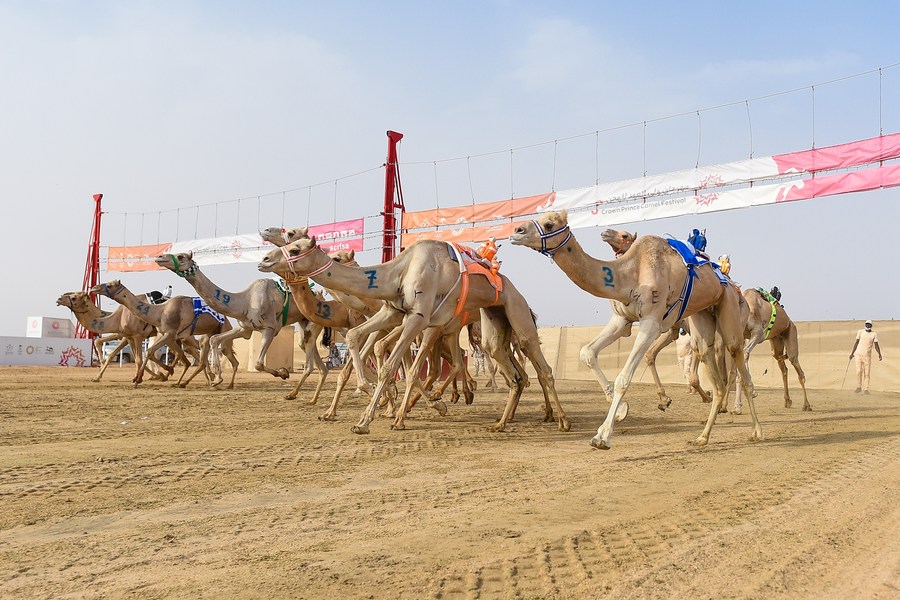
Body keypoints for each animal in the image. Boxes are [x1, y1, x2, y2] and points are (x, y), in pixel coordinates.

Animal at [90, 280, 239, 388]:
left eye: (110, 285)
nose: (94, 288)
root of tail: (225, 317)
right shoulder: (132, 335)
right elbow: (137, 354)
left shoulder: (158, 334)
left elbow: (146, 353)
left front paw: (139, 378)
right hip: (201, 334)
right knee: (198, 353)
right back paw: (200, 380)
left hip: (215, 331)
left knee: (215, 351)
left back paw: (214, 379)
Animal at [153, 252, 328, 398]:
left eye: (181, 256)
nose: (160, 257)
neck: (246, 301)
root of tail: (321, 297)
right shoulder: (245, 328)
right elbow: (215, 339)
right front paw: (217, 379)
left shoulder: (270, 328)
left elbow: (258, 364)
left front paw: (283, 373)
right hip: (303, 321)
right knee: (307, 348)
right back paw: (301, 394)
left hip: (313, 321)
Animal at [257, 236, 570, 435]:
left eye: (295, 248)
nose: (264, 259)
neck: (398, 272)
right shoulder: (393, 312)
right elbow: (359, 337)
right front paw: (374, 400)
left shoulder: (418, 318)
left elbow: (391, 367)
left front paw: (367, 420)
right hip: (493, 320)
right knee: (513, 373)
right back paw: (500, 423)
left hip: (515, 311)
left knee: (540, 366)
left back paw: (561, 420)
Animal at [510, 210, 761, 449]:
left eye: (549, 224)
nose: (516, 231)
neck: (630, 273)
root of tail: (729, 282)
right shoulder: (621, 320)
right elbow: (587, 352)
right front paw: (621, 410)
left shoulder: (651, 323)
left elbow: (623, 378)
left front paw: (602, 436)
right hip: (701, 314)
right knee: (709, 364)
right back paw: (702, 437)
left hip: (728, 306)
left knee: (737, 355)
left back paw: (756, 431)